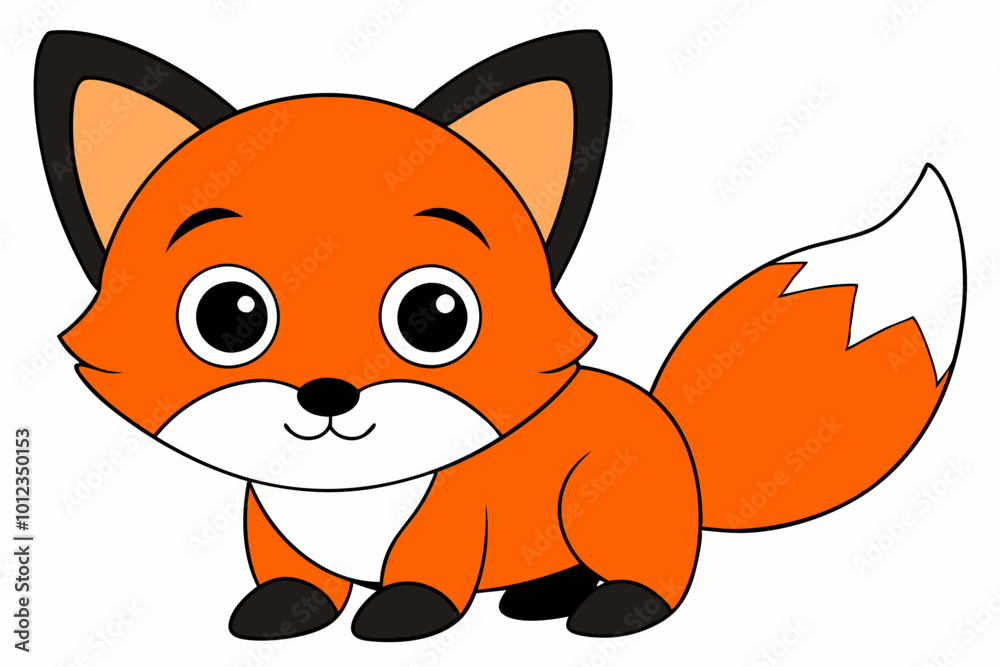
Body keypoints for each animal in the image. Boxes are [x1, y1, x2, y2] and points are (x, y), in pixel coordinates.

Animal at [34, 30, 966, 641]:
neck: (345, 499)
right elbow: (291, 577)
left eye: (435, 315)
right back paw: (538, 598)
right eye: (229, 314)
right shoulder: (271, 524)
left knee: (660, 572)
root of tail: (675, 433)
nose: (329, 393)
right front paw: (284, 611)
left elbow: (428, 580)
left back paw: (612, 608)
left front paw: (401, 616)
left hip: (600, 502)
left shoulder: (450, 525)